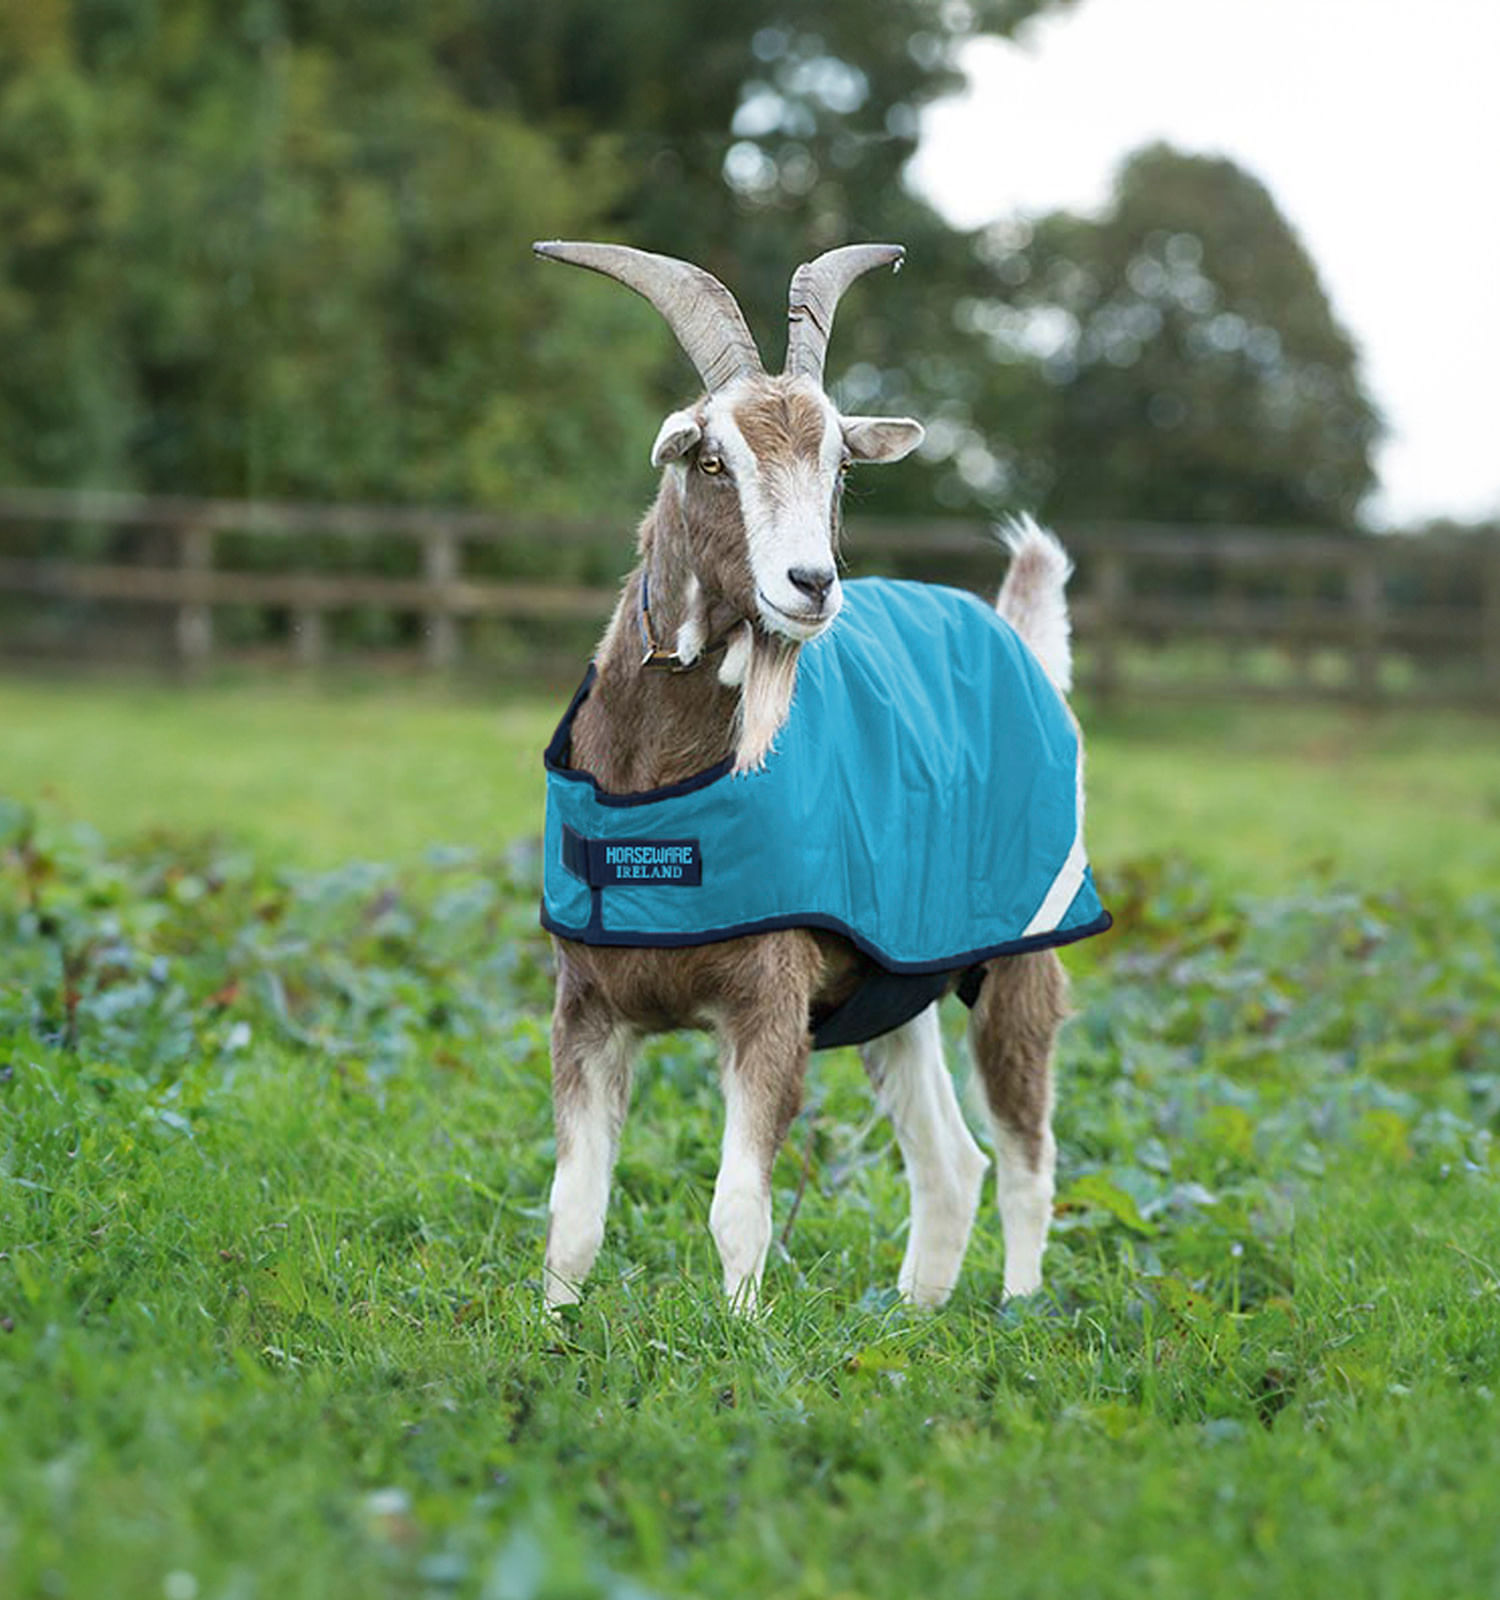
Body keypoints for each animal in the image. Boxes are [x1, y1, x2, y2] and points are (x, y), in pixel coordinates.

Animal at [533, 240, 1110, 1311]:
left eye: (840, 463)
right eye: (712, 459)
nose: (812, 585)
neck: (659, 788)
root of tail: (1019, 642)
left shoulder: (771, 998)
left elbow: (736, 1211)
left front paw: (738, 1337)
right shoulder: (585, 1005)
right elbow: (573, 1214)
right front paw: (549, 1332)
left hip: (1023, 947)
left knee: (1026, 1153)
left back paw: (1017, 1312)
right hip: (901, 975)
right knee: (950, 1162)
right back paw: (915, 1319)